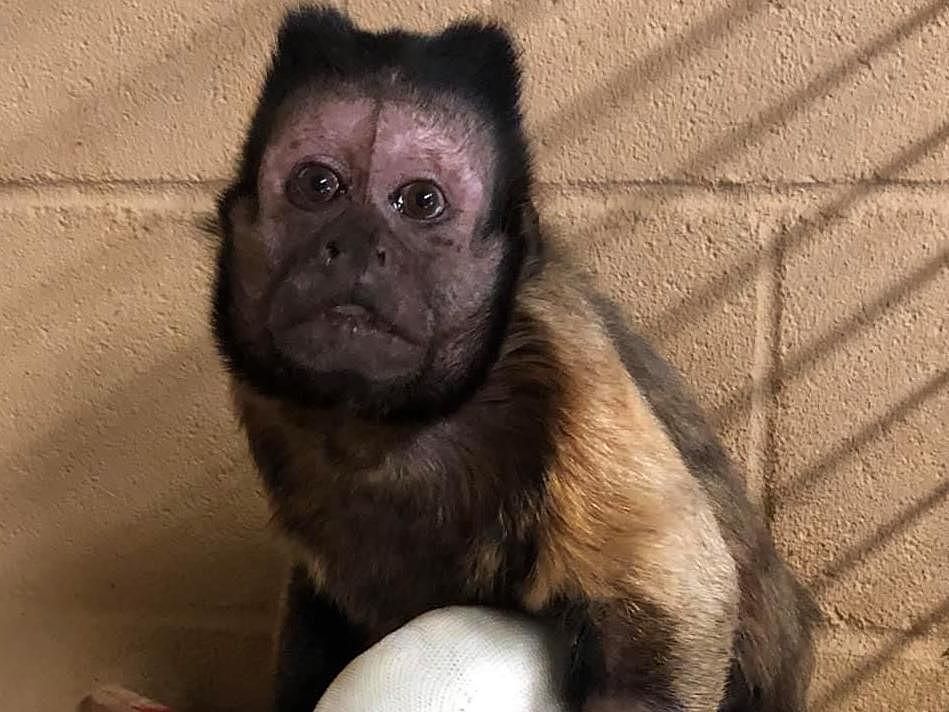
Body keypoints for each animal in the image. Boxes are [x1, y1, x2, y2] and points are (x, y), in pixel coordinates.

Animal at [206, 5, 819, 712]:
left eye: (420, 201)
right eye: (317, 185)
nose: (356, 242)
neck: (395, 427)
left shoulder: (566, 362)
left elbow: (677, 607)